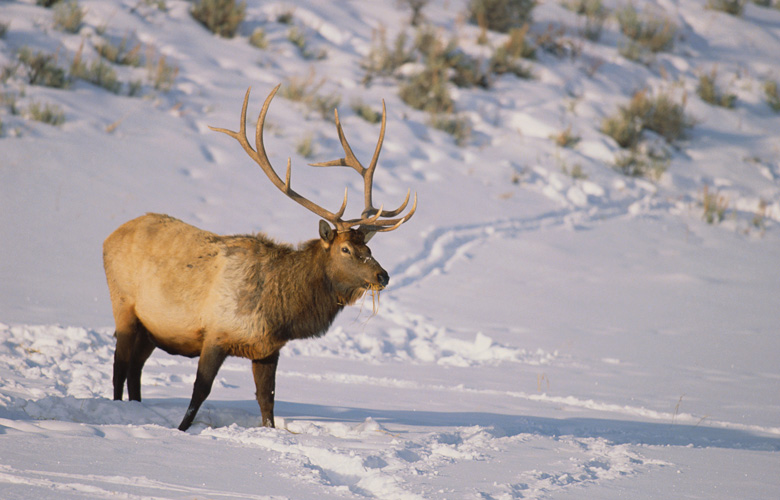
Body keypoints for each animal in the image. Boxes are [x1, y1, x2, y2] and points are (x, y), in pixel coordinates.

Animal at [103, 84, 416, 431]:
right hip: (124, 305)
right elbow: (199, 392)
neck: (281, 311)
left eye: (369, 249)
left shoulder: (268, 349)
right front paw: (181, 430)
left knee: (135, 369)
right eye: (346, 249)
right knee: (119, 366)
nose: (382, 275)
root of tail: (110, 236)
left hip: (152, 329)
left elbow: (267, 400)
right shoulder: (216, 334)